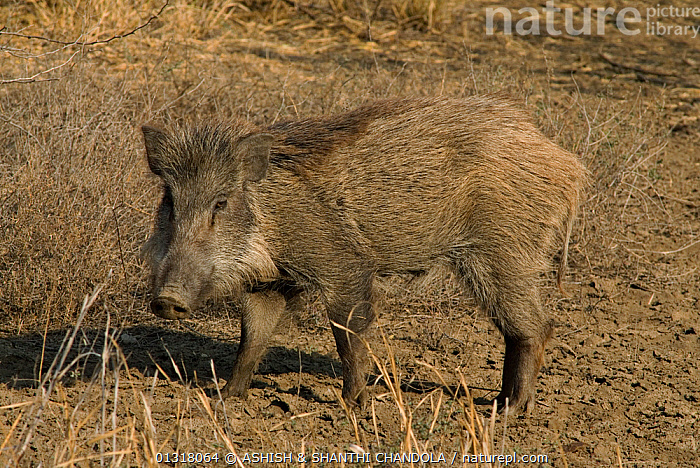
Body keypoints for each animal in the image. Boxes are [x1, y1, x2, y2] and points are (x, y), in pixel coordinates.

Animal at [141, 94, 587, 414]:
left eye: (221, 202)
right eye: (169, 201)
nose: (166, 300)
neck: (273, 215)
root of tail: (568, 164)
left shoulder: (345, 267)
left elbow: (348, 335)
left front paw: (353, 405)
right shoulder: (269, 283)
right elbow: (252, 338)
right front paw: (227, 398)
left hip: (503, 255)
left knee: (536, 327)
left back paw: (510, 411)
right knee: (522, 329)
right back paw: (501, 404)